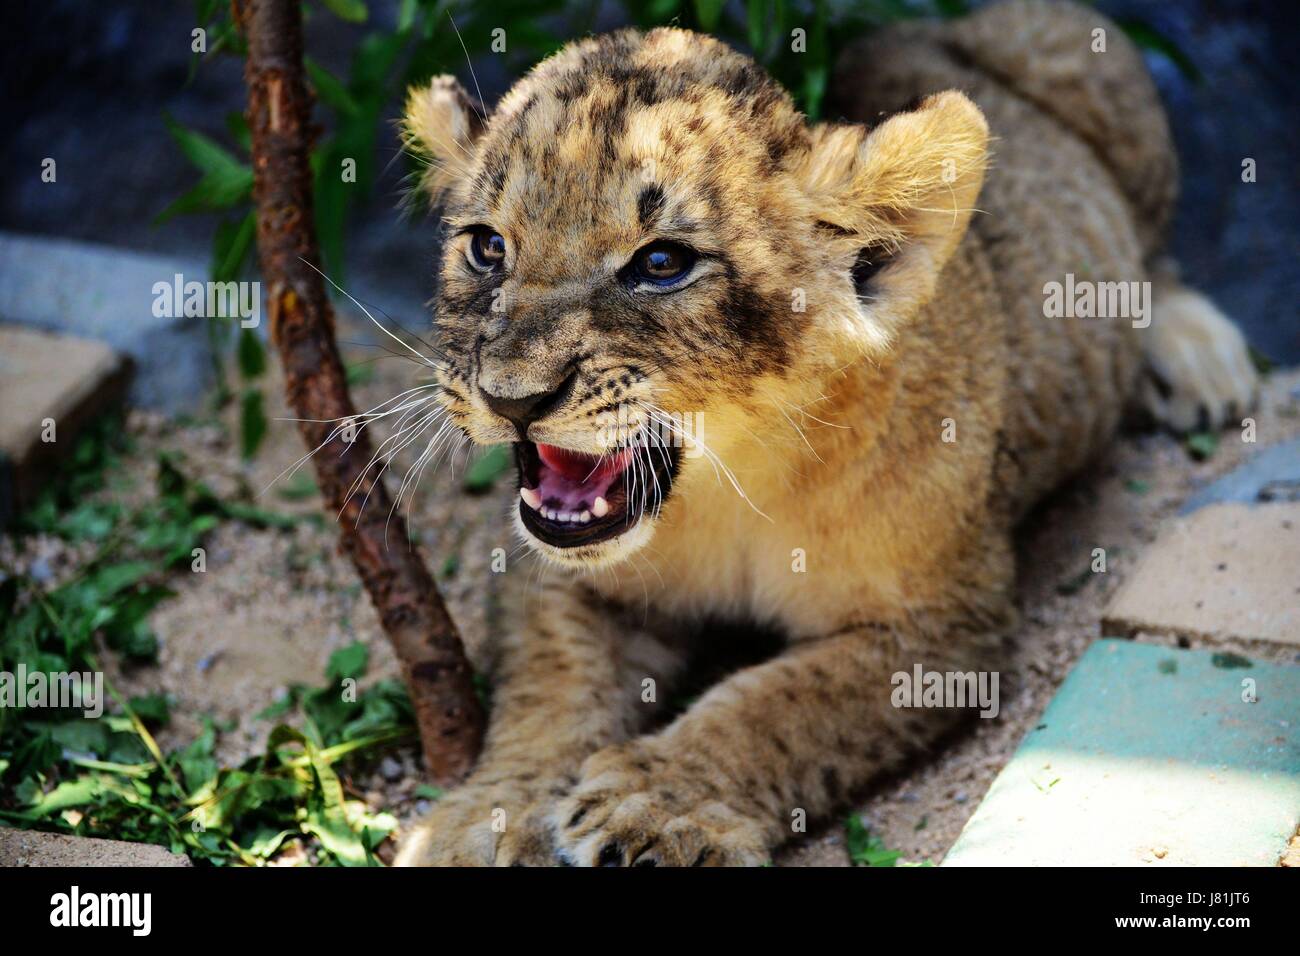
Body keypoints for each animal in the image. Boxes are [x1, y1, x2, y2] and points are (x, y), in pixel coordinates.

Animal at [394, 0, 1257, 865]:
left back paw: (1199, 360)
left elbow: (780, 706)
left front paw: (658, 807)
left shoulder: (942, 630)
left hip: (1081, 48)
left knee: (1154, 251)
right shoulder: (556, 578)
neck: (731, 481)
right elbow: (549, 695)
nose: (511, 399)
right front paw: (482, 823)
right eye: (487, 247)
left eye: (662, 263)